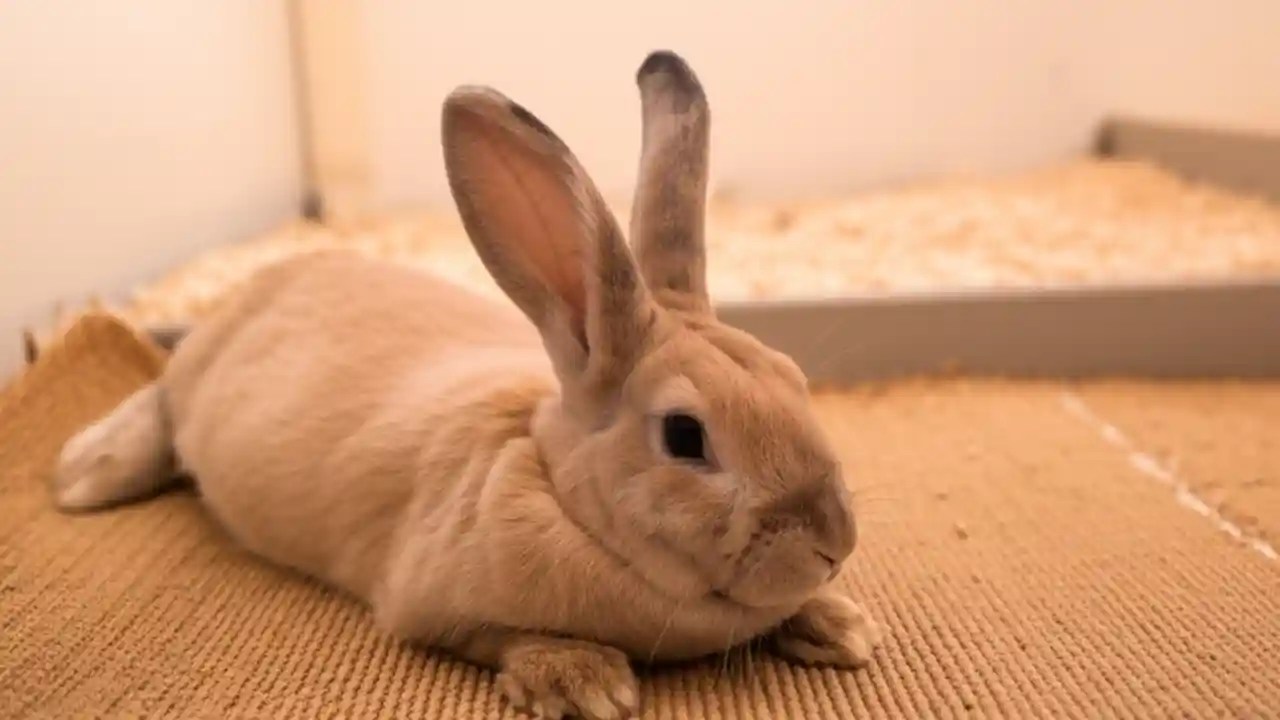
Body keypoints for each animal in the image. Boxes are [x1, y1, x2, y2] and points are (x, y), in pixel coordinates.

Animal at [52, 50, 881, 720]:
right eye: (685, 436)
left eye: (793, 376)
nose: (834, 543)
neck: (560, 493)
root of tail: (247, 291)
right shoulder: (432, 608)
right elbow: (504, 636)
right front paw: (580, 680)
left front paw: (844, 626)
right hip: (186, 392)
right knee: (157, 408)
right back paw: (83, 477)